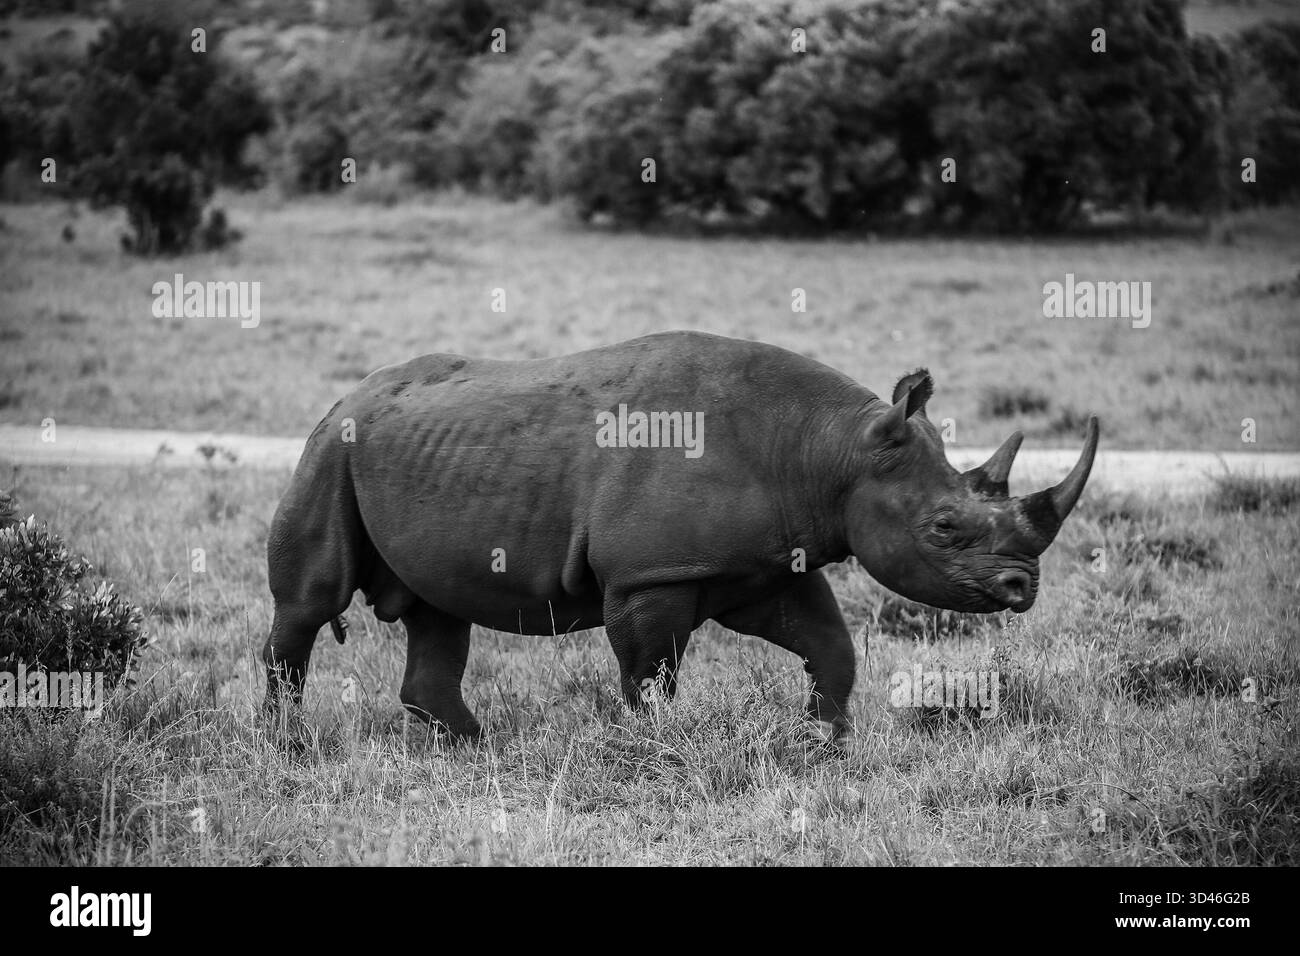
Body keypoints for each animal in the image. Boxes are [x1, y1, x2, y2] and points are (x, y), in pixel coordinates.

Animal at [263, 330, 1097, 740]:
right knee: (310, 601)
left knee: (439, 611)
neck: (829, 451)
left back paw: (473, 746)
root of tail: (348, 394)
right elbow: (650, 674)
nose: (1023, 587)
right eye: (945, 528)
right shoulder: (652, 573)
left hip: (405, 452)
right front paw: (656, 751)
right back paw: (286, 742)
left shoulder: (764, 565)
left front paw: (824, 741)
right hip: (330, 449)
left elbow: (831, 645)